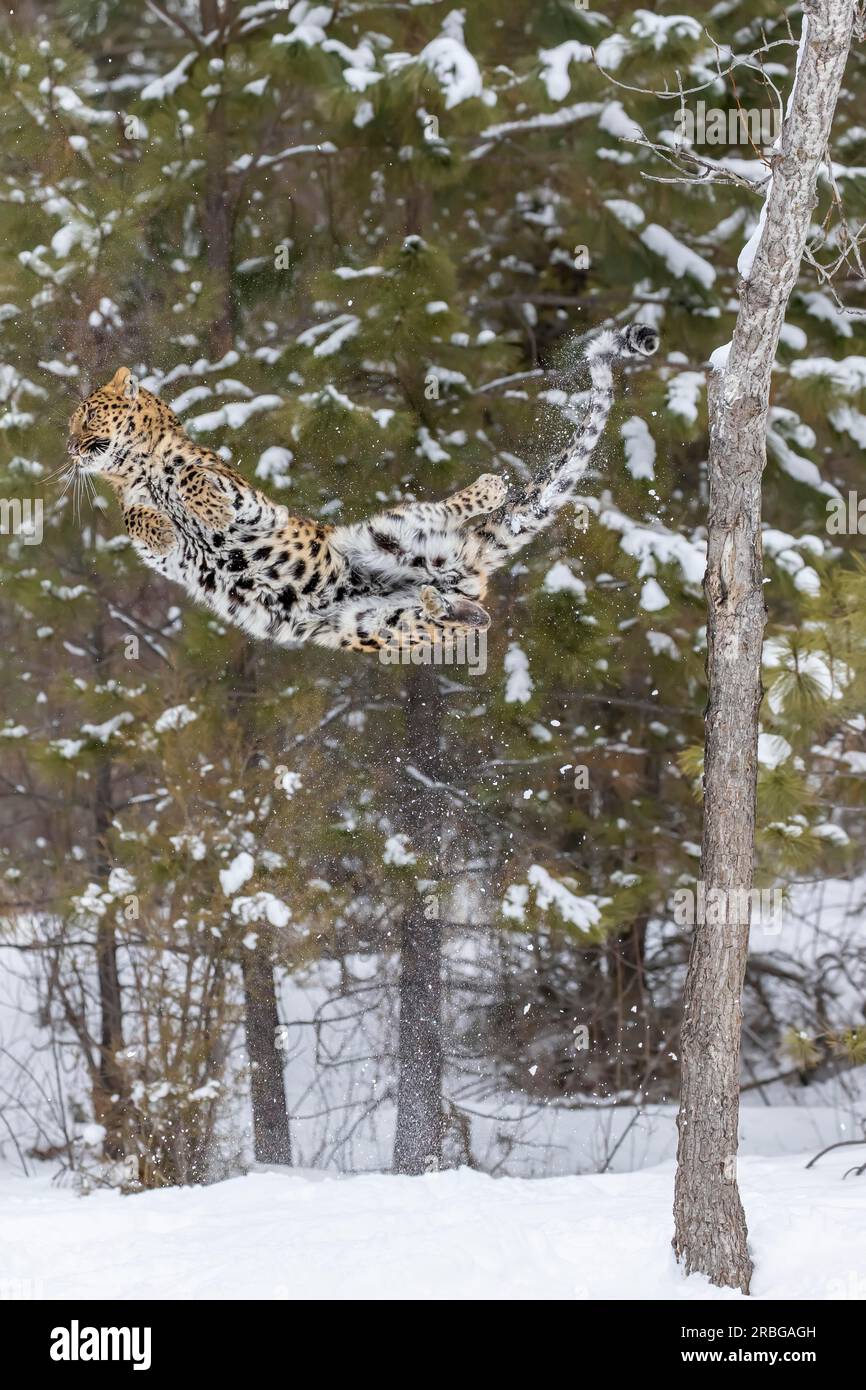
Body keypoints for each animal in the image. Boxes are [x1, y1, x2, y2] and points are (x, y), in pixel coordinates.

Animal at [65, 322, 659, 655]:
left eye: (88, 415)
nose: (70, 447)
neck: (136, 467)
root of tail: (461, 565)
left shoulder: (244, 499)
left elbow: (192, 478)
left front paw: (201, 505)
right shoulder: (157, 546)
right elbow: (137, 520)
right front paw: (161, 527)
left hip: (383, 532)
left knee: (442, 513)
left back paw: (487, 489)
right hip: (381, 625)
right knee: (473, 619)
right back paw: (440, 603)